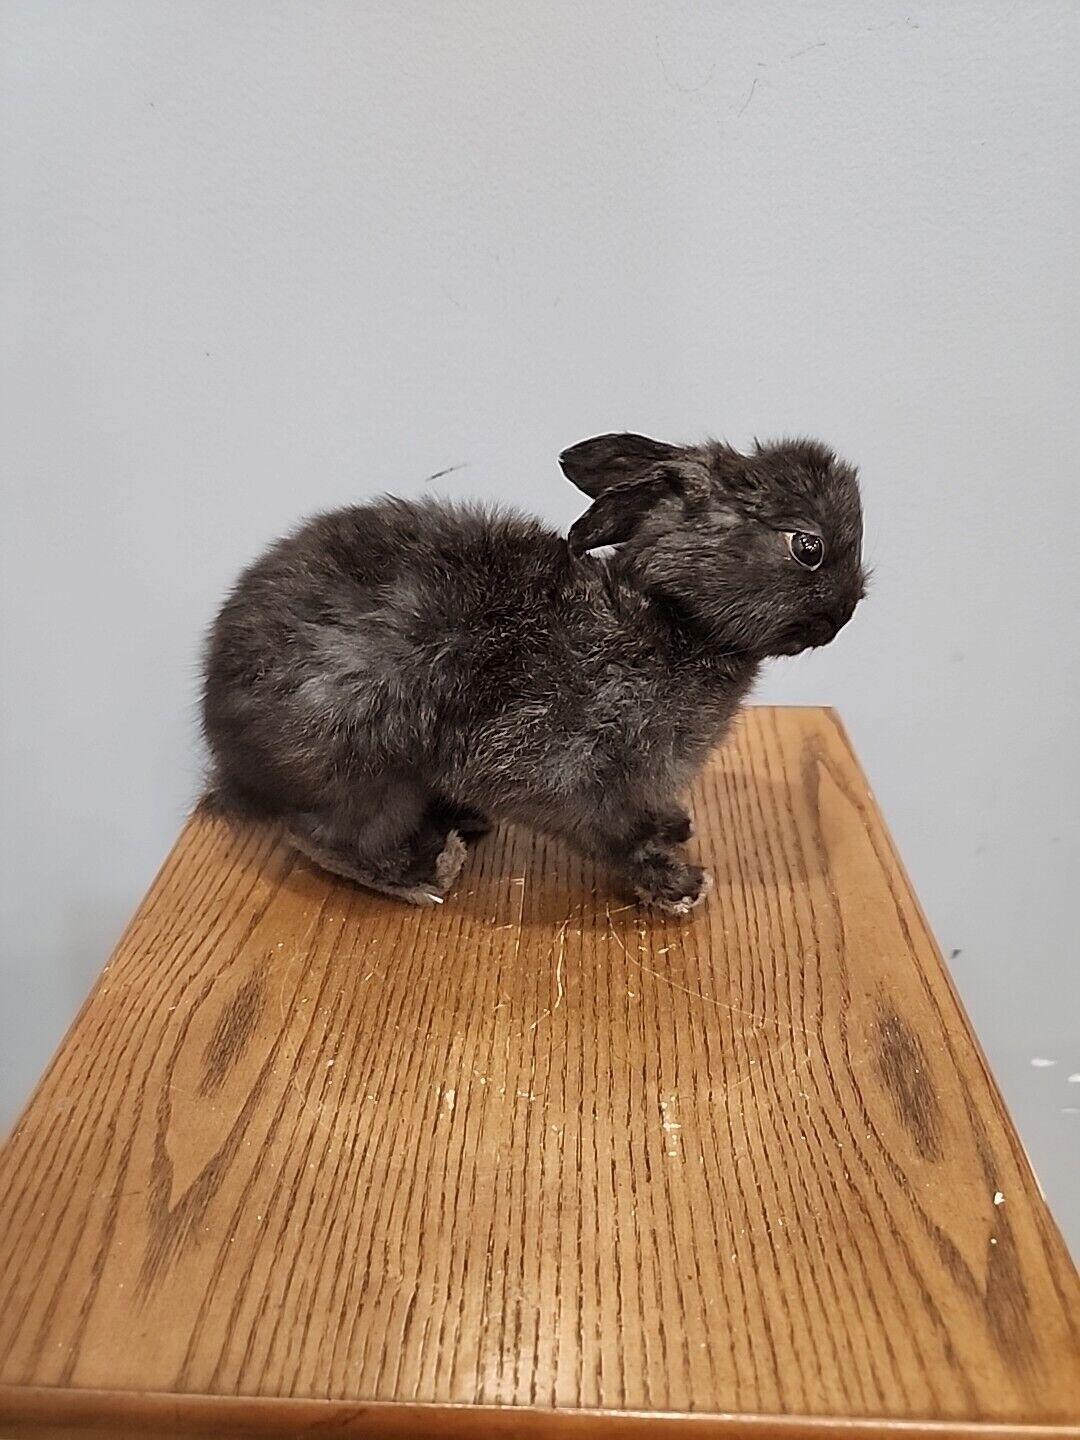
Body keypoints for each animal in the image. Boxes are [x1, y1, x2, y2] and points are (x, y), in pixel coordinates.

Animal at [201, 433, 865, 911]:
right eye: (808, 547)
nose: (846, 612)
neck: (676, 620)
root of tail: (232, 764)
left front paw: (674, 826)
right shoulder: (573, 768)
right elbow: (612, 835)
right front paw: (676, 885)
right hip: (370, 770)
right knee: (319, 836)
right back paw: (423, 875)